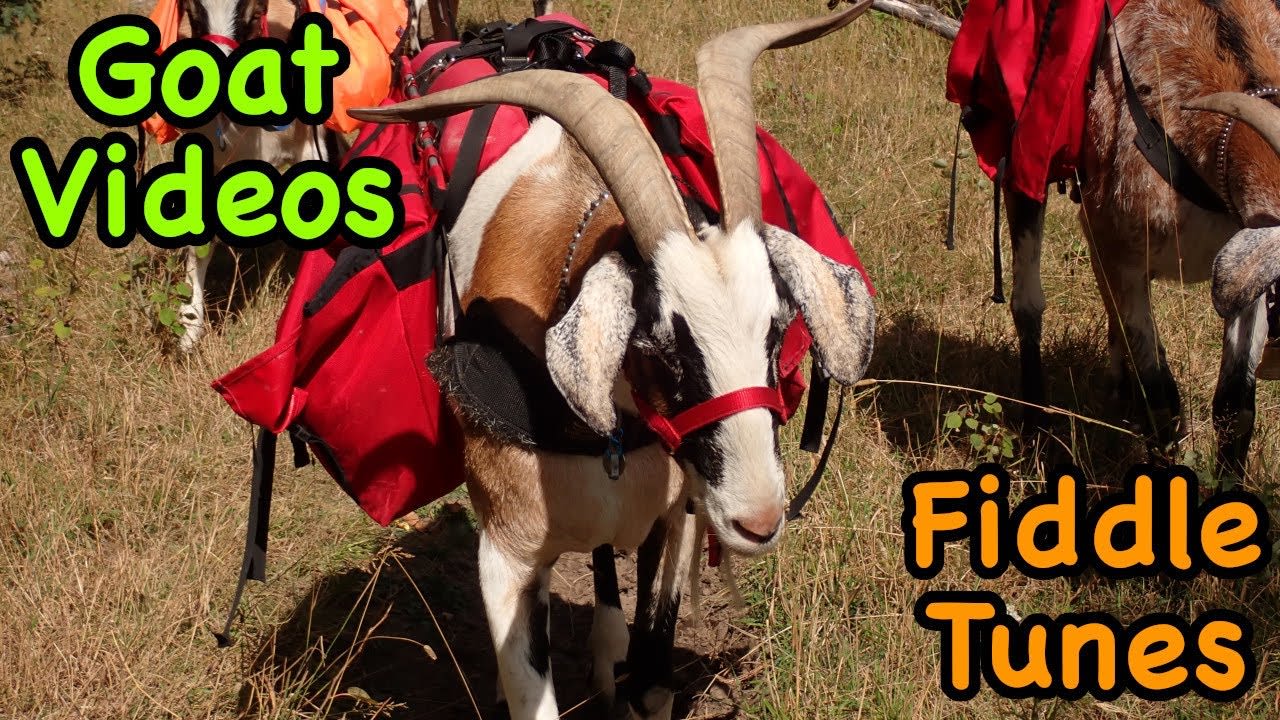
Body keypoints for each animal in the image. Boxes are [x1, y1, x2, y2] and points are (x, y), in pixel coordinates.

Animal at [350, 5, 875, 718]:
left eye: (776, 331)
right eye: (659, 345)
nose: (759, 521)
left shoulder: (673, 518)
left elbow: (652, 676)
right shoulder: (507, 559)